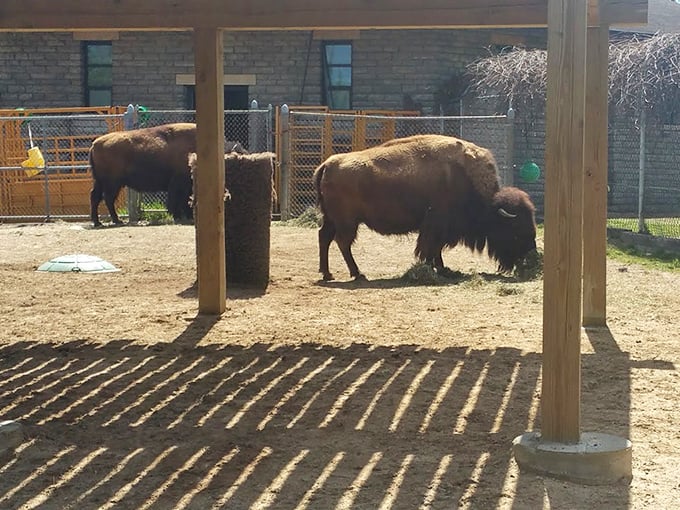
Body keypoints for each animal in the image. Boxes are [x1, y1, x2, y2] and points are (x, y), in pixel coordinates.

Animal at [314, 134, 537, 280]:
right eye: (516, 229)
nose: (530, 258)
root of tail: (328, 163)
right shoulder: (437, 225)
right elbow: (431, 247)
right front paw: (433, 267)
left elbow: (436, 248)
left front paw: (442, 269)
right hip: (347, 222)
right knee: (342, 242)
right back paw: (357, 273)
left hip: (332, 219)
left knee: (325, 237)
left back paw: (328, 273)